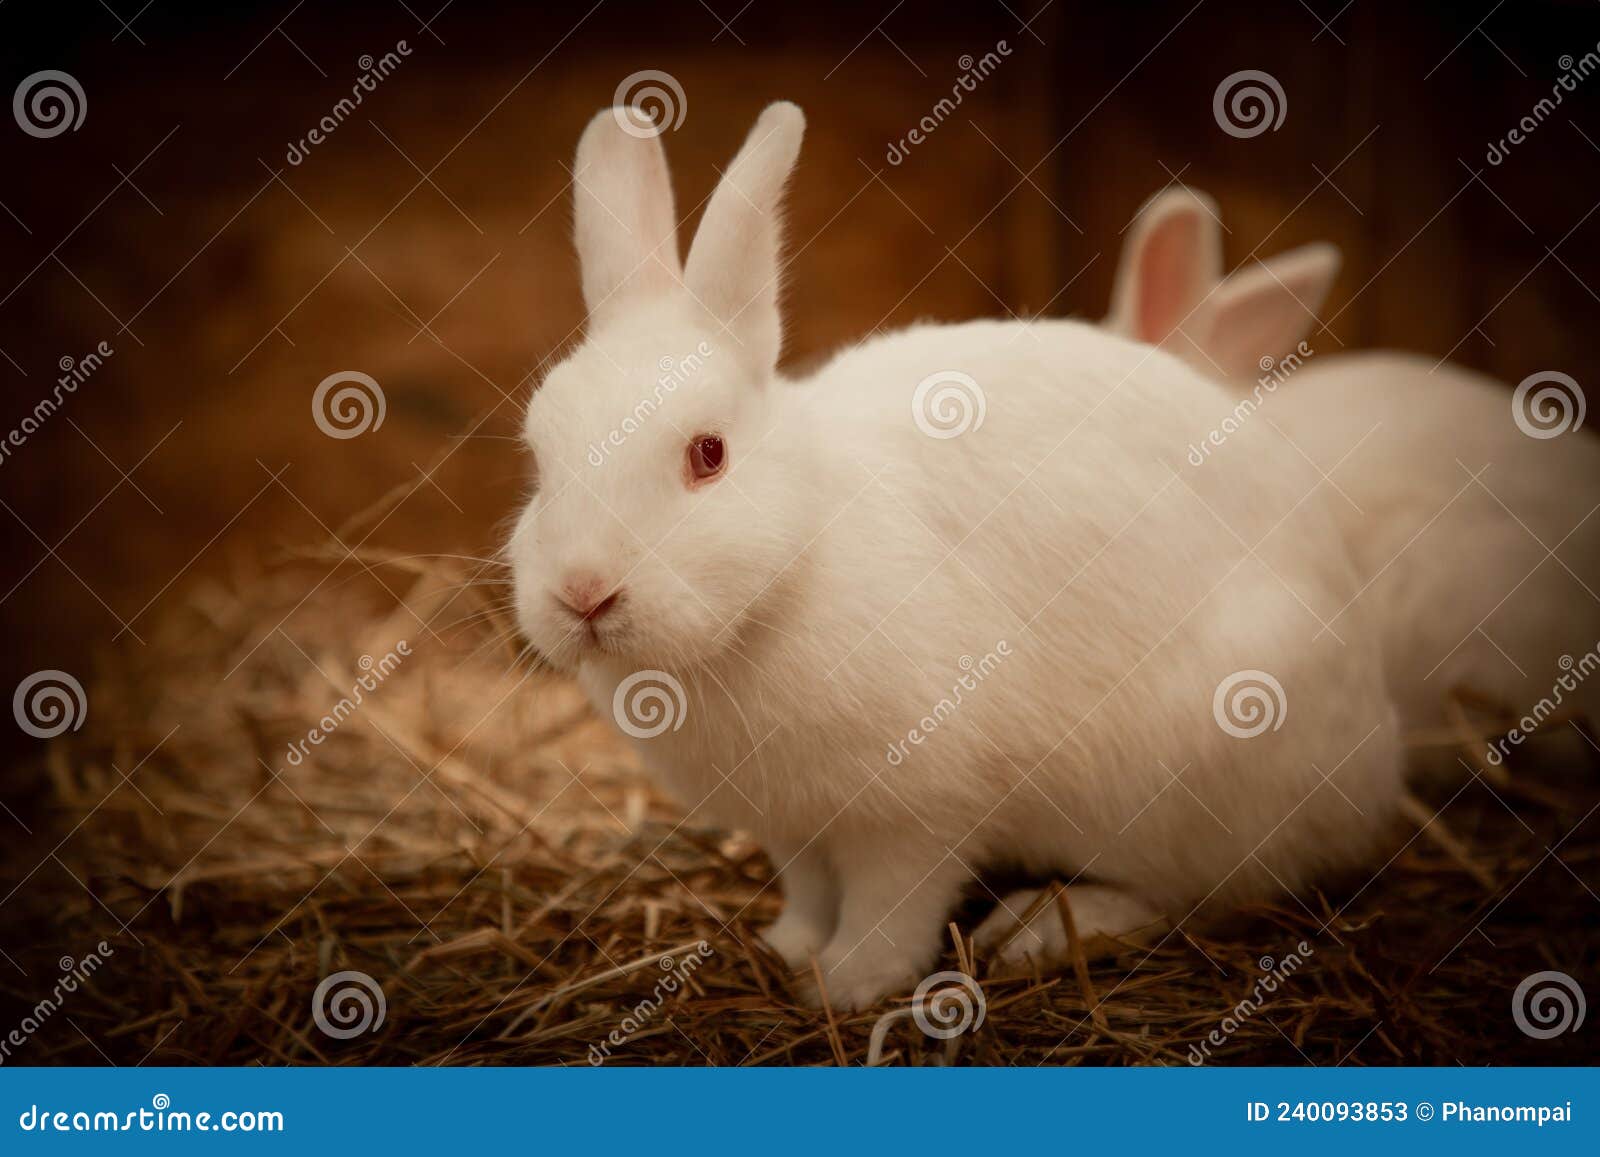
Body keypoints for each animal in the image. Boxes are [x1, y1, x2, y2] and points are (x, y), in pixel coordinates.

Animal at [506, 103, 1404, 1009]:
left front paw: (847, 984)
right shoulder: (795, 828)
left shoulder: (915, 816)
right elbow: (810, 893)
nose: (583, 592)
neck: (796, 564)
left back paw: (1040, 928)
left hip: (1190, 780)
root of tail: (1373, 769)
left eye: (708, 454)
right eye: (540, 460)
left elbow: (891, 906)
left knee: (1193, 890)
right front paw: (790, 948)